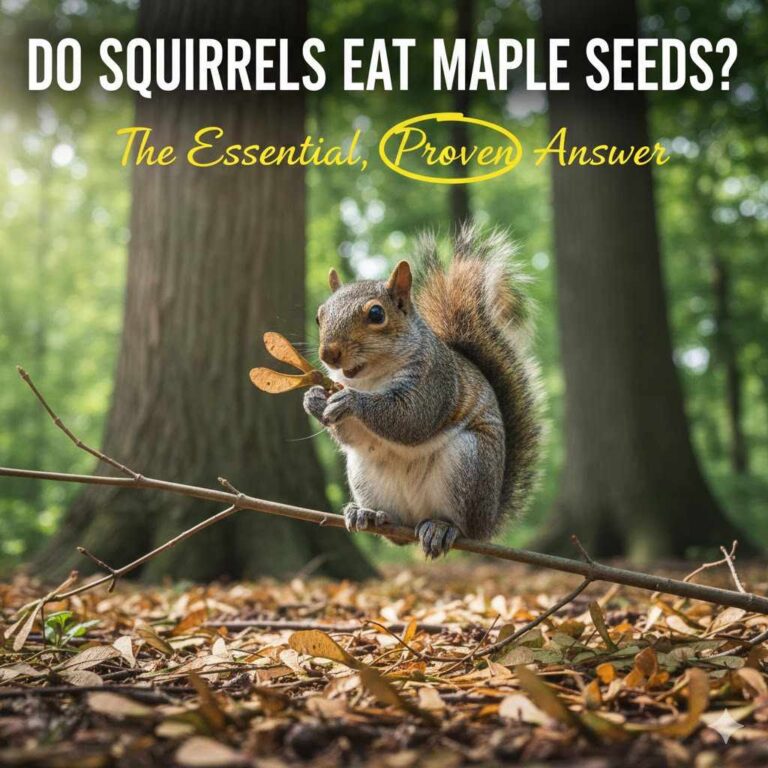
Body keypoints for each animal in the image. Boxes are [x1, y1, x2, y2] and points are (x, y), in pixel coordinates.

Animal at [304, 225, 541, 558]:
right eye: (319, 316)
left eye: (376, 314)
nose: (329, 354)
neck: (370, 379)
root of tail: (488, 522)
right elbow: (352, 436)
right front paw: (313, 399)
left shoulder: (435, 381)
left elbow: (411, 419)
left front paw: (352, 401)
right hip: (364, 473)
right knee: (395, 533)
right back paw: (369, 514)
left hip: (469, 463)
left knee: (460, 525)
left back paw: (442, 528)